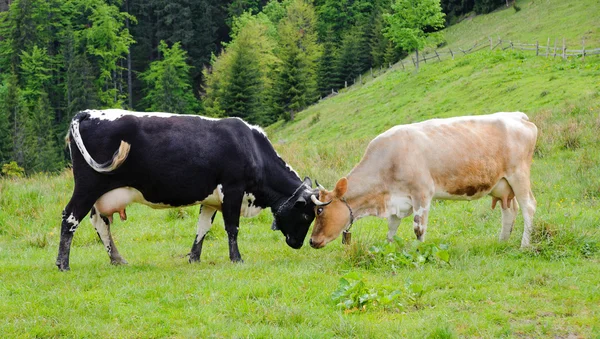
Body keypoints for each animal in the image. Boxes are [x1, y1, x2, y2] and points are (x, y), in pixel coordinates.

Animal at [57, 109, 318, 270]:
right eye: (307, 215)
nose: (298, 244)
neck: (251, 146)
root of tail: (88, 113)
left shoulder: (211, 200)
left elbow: (202, 228)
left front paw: (194, 258)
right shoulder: (233, 189)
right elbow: (232, 228)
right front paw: (237, 259)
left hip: (99, 194)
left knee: (100, 224)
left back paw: (117, 259)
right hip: (88, 186)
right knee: (70, 218)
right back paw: (63, 264)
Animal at [312, 113, 536, 248]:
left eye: (319, 211)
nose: (312, 241)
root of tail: (518, 115)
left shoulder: (422, 192)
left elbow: (418, 228)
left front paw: (419, 250)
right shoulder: (397, 200)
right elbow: (391, 228)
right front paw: (389, 247)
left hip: (519, 175)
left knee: (529, 207)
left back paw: (524, 245)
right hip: (501, 185)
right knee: (509, 210)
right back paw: (502, 242)